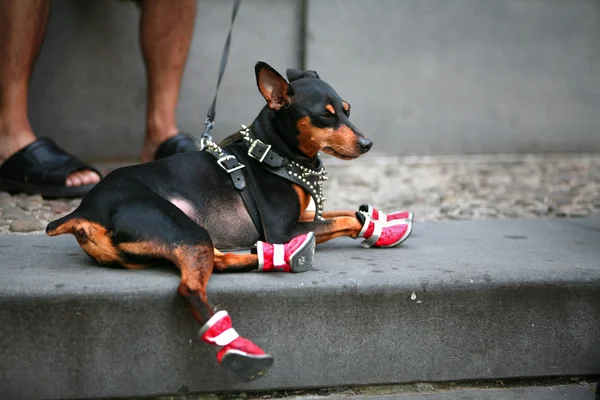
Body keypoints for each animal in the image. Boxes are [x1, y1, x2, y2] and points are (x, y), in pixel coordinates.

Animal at [47, 61, 412, 382]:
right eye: (326, 115)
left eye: (347, 110)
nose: (367, 144)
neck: (273, 154)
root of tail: (83, 213)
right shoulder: (281, 227)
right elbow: (345, 220)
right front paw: (374, 227)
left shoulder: (302, 217)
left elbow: (341, 212)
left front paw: (383, 223)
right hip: (182, 226)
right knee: (191, 288)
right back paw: (241, 349)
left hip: (190, 236)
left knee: (218, 262)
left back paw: (275, 257)